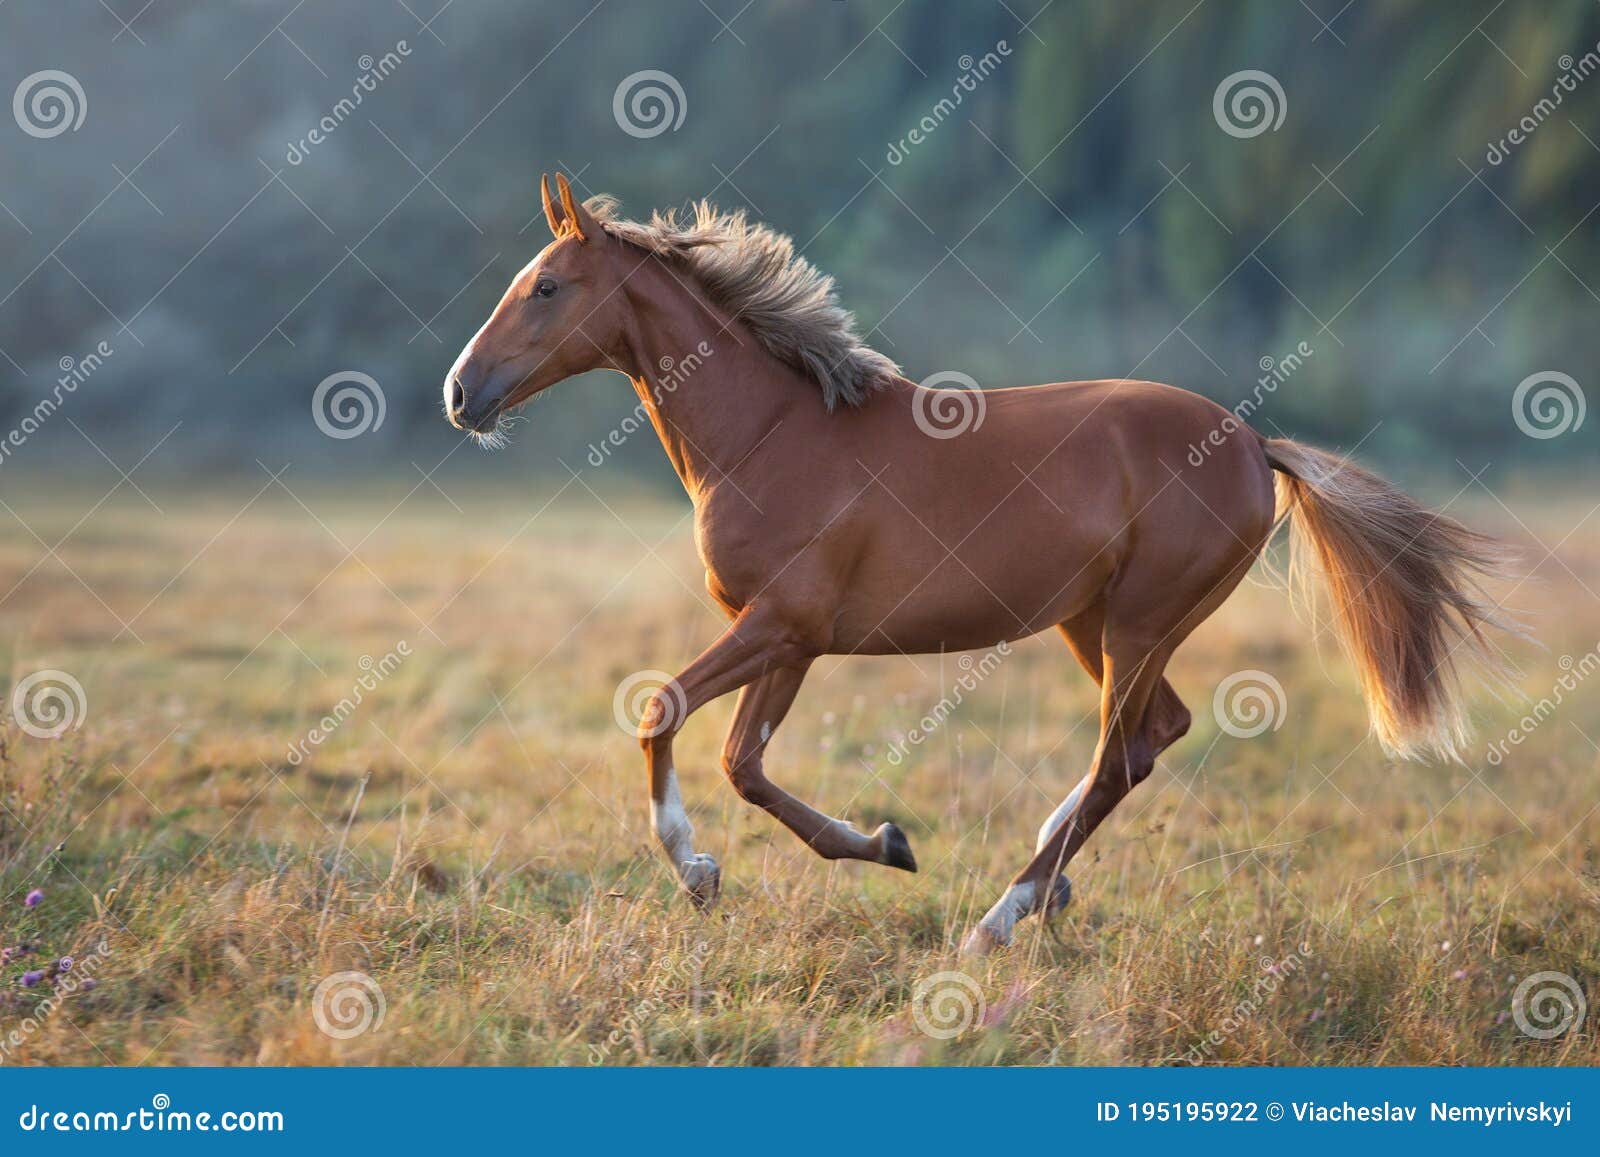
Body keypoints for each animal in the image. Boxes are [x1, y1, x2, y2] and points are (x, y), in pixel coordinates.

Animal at [444, 174, 1511, 954]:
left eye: (546, 287)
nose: (462, 392)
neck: (769, 431)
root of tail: (1254, 444)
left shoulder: (782, 625)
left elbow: (669, 713)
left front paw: (710, 870)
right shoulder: (791, 641)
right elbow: (742, 761)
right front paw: (876, 842)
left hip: (1139, 623)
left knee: (1119, 755)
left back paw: (1000, 918)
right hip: (1096, 621)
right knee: (1151, 736)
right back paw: (1047, 873)